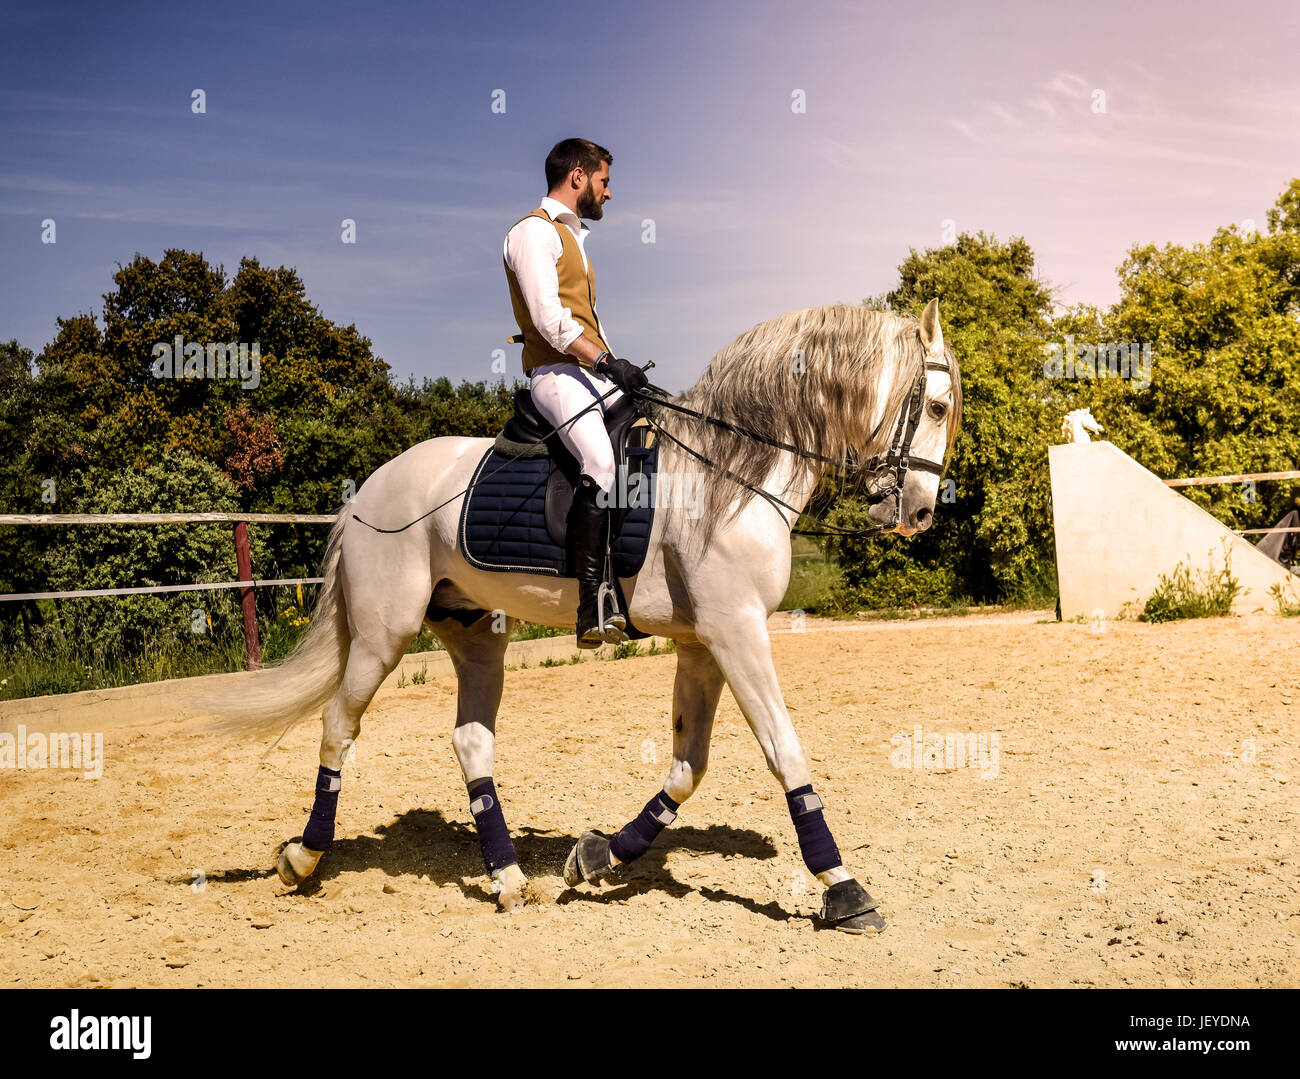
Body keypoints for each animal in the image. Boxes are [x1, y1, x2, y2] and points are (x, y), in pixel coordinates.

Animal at [196, 300, 962, 934]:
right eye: (938, 406)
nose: (920, 513)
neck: (726, 476)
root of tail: (368, 491)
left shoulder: (702, 643)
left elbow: (688, 766)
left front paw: (597, 856)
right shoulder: (735, 630)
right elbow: (784, 749)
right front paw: (843, 887)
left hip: (476, 635)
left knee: (471, 742)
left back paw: (507, 879)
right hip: (384, 635)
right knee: (338, 726)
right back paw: (303, 857)